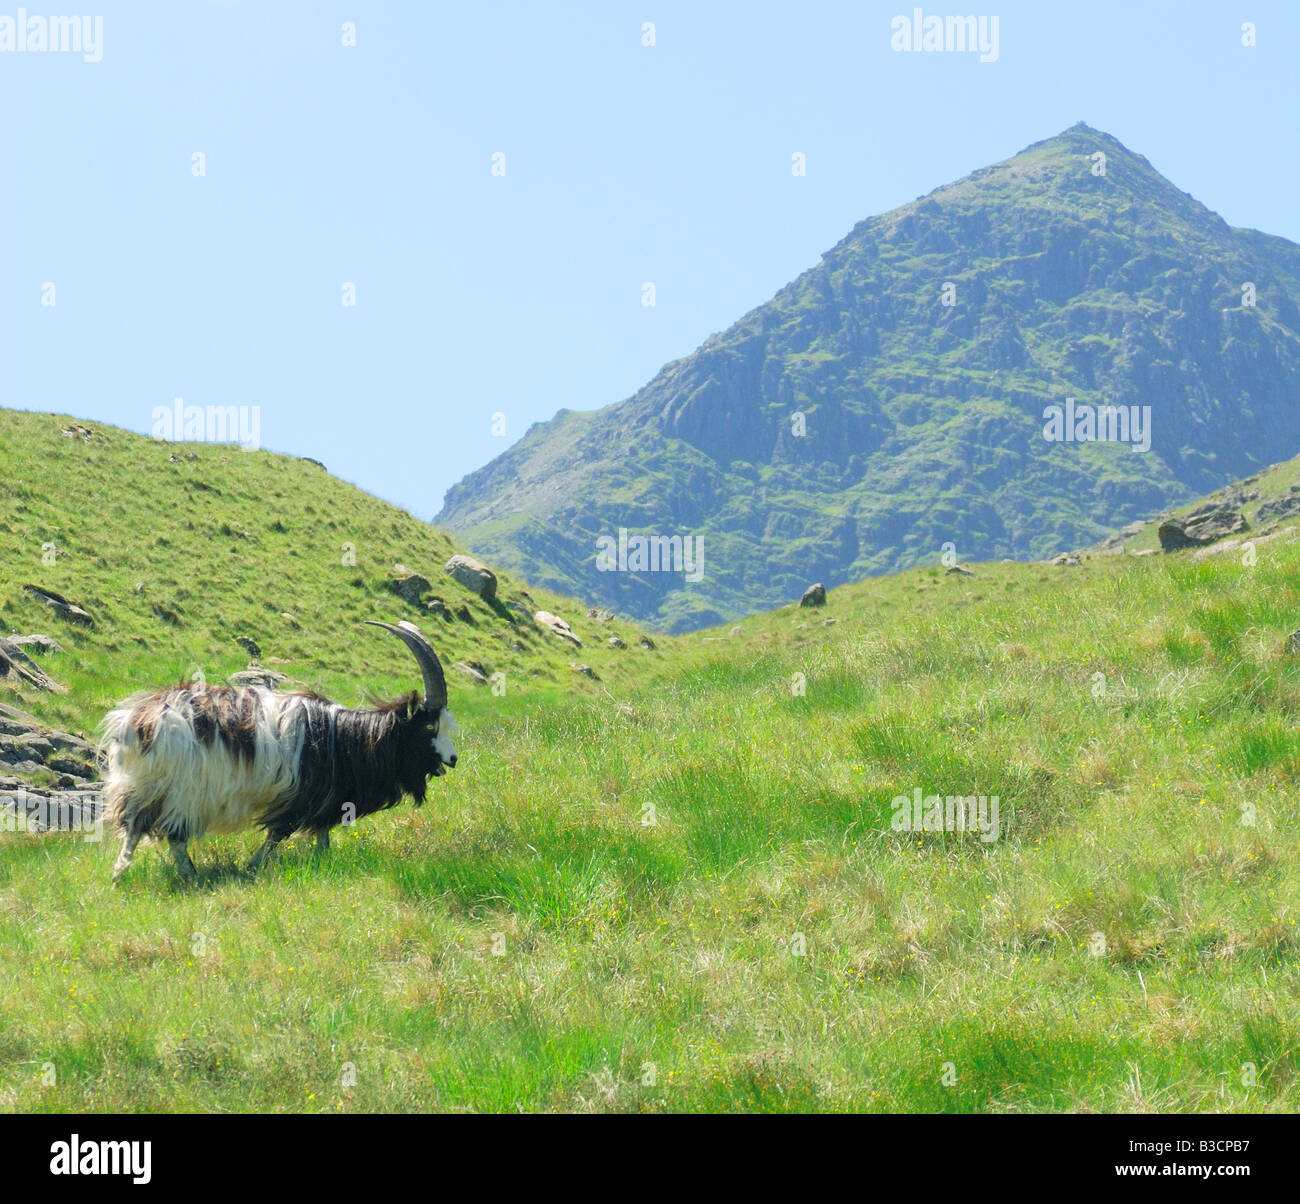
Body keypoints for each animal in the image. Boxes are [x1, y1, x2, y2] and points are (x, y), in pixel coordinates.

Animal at [101, 621, 458, 883]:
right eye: (429, 727)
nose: (452, 759)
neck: (344, 740)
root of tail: (139, 721)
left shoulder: (325, 798)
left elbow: (320, 835)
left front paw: (321, 860)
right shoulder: (299, 794)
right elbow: (279, 832)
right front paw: (253, 865)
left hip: (149, 784)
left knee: (136, 823)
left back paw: (121, 874)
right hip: (181, 789)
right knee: (169, 830)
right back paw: (188, 875)